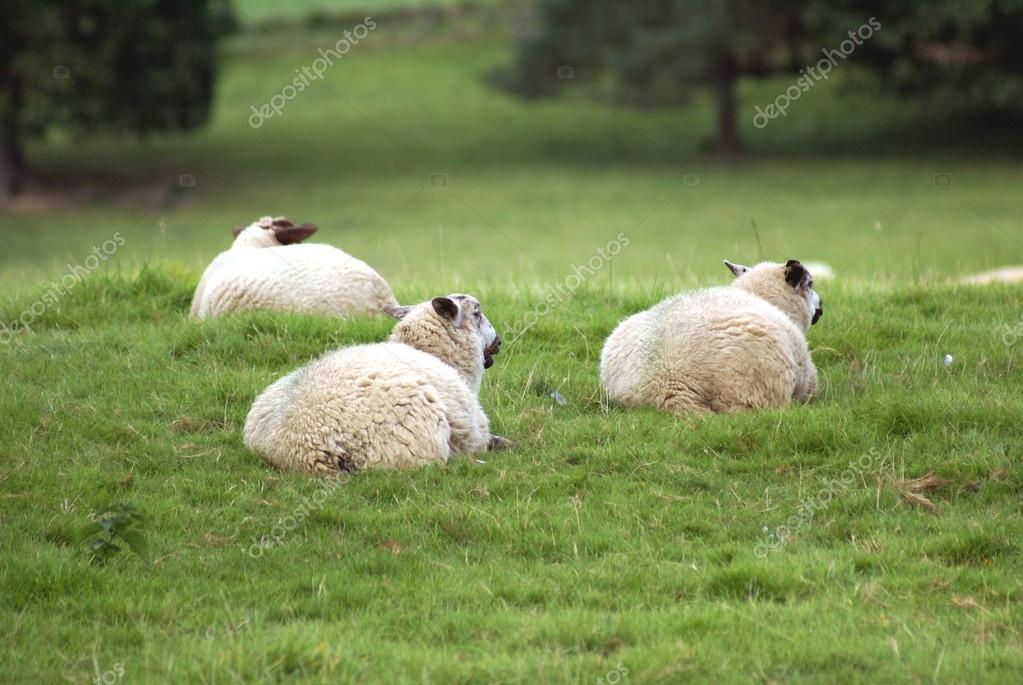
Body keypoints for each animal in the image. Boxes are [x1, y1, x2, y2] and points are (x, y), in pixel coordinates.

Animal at [243, 294, 510, 474]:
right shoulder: (472, 428)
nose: (499, 341)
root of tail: (313, 447)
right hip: (413, 442)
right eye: (477, 314)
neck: (431, 352)